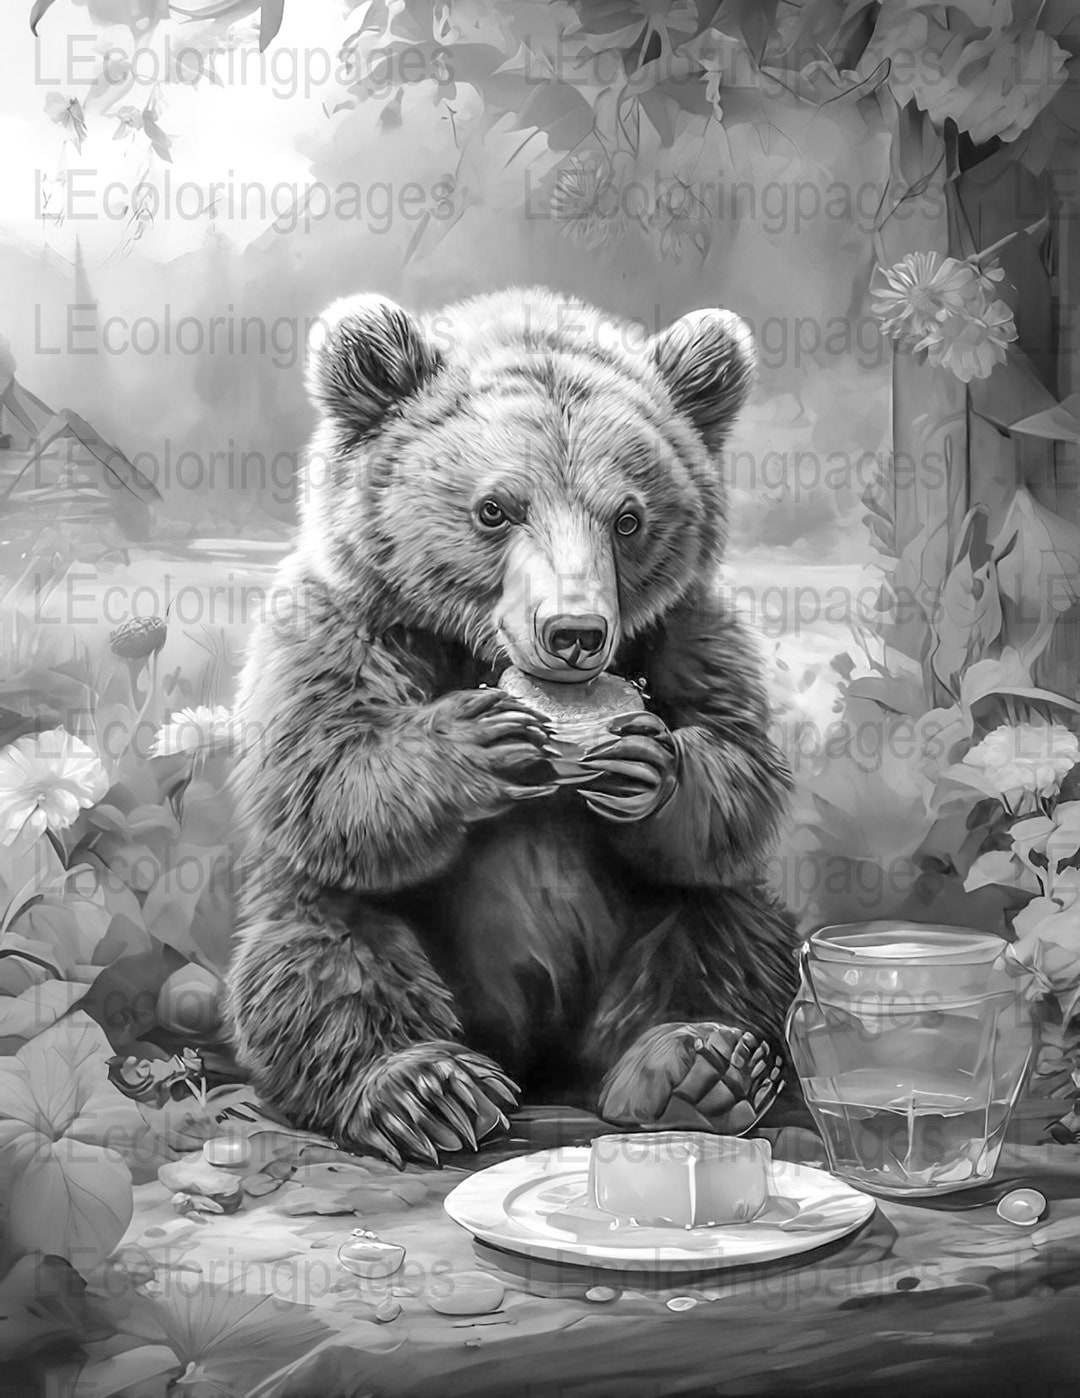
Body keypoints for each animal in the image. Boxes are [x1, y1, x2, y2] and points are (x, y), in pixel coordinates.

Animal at [223, 286, 799, 1167]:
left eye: (626, 517)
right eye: (494, 508)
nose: (575, 632)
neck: (480, 653)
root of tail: (536, 1056)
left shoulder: (688, 633)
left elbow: (739, 767)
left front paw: (648, 767)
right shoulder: (341, 624)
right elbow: (320, 773)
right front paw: (473, 747)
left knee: (723, 927)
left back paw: (695, 1066)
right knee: (317, 949)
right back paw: (422, 1086)